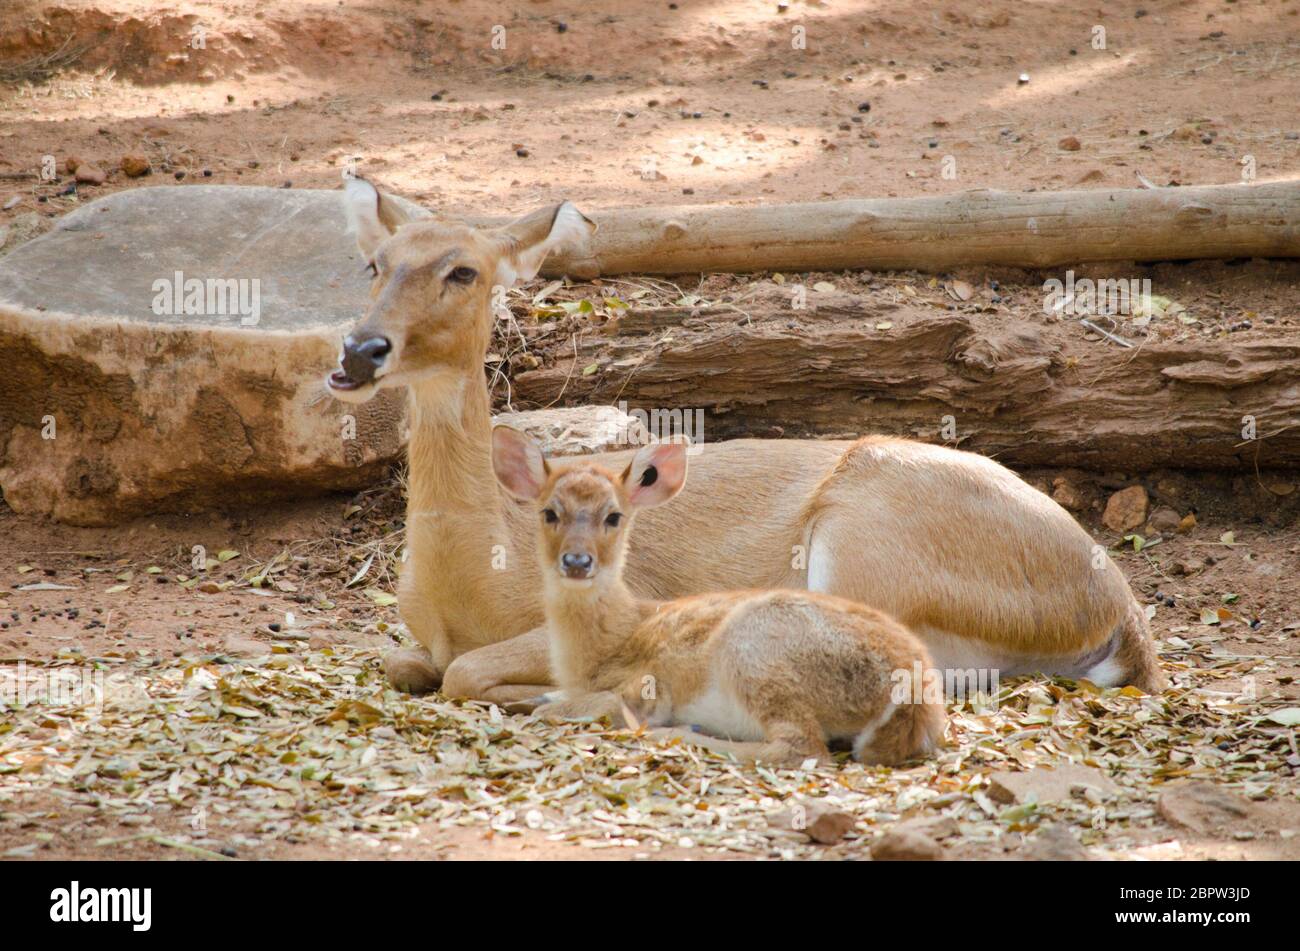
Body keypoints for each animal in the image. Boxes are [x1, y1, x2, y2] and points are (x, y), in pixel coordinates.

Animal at [325, 177, 1166, 709]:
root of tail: (1116, 609)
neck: (471, 577)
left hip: (862, 550)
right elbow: (406, 661)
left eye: (464, 269)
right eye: (375, 262)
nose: (359, 350)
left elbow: (466, 671)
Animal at [490, 426, 947, 766]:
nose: (577, 561)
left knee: (800, 747)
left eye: (614, 516)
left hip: (755, 654)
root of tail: (912, 696)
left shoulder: (646, 684)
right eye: (549, 512)